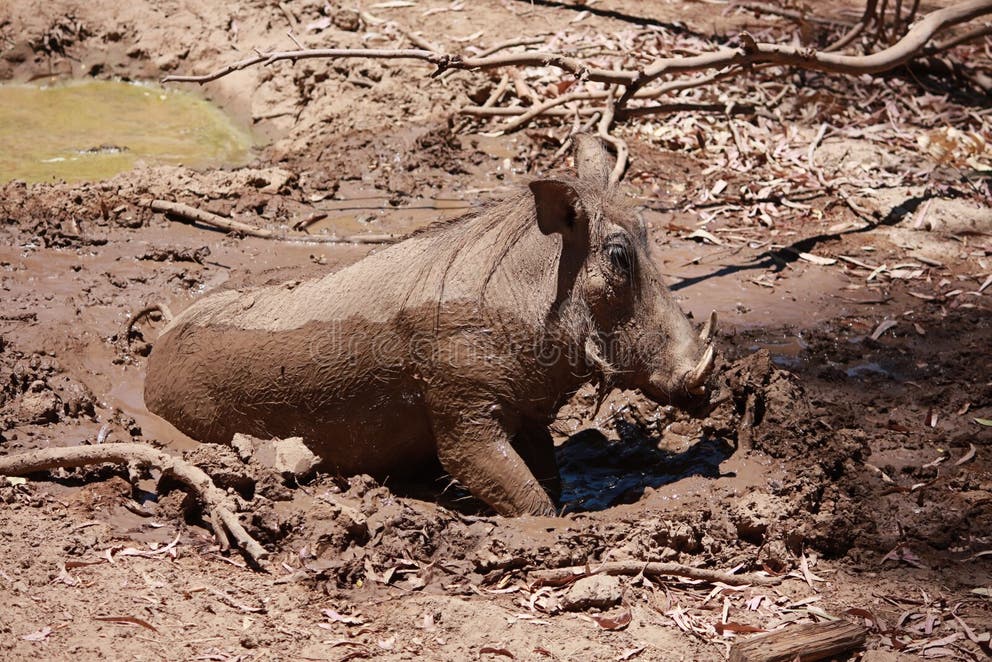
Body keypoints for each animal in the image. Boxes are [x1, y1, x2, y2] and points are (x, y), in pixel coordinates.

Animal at [144, 135, 717, 517]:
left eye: (648, 232)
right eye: (619, 256)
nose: (706, 386)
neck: (532, 296)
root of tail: (153, 357)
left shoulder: (527, 413)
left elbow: (549, 477)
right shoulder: (464, 418)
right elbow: (532, 502)